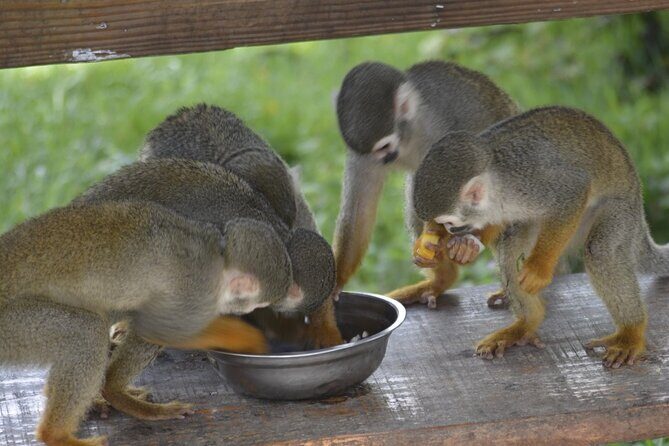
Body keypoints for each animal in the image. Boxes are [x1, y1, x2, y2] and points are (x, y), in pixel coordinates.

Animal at [0, 201, 295, 446]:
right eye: (254, 305)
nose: (249, 312)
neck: (217, 255)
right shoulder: (193, 287)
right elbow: (159, 329)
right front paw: (252, 340)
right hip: (14, 327)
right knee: (85, 332)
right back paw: (59, 434)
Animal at [332, 60, 519, 308]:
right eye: (374, 151)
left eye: (384, 146)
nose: (385, 159)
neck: (409, 136)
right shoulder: (360, 154)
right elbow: (358, 214)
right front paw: (334, 282)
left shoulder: (439, 133)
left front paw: (457, 242)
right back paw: (442, 280)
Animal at [412, 105, 669, 368]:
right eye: (443, 224)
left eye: (450, 223)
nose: (450, 232)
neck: (496, 188)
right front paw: (459, 246)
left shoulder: (529, 180)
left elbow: (574, 190)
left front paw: (538, 268)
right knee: (511, 249)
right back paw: (526, 323)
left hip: (620, 209)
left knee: (601, 250)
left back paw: (630, 333)